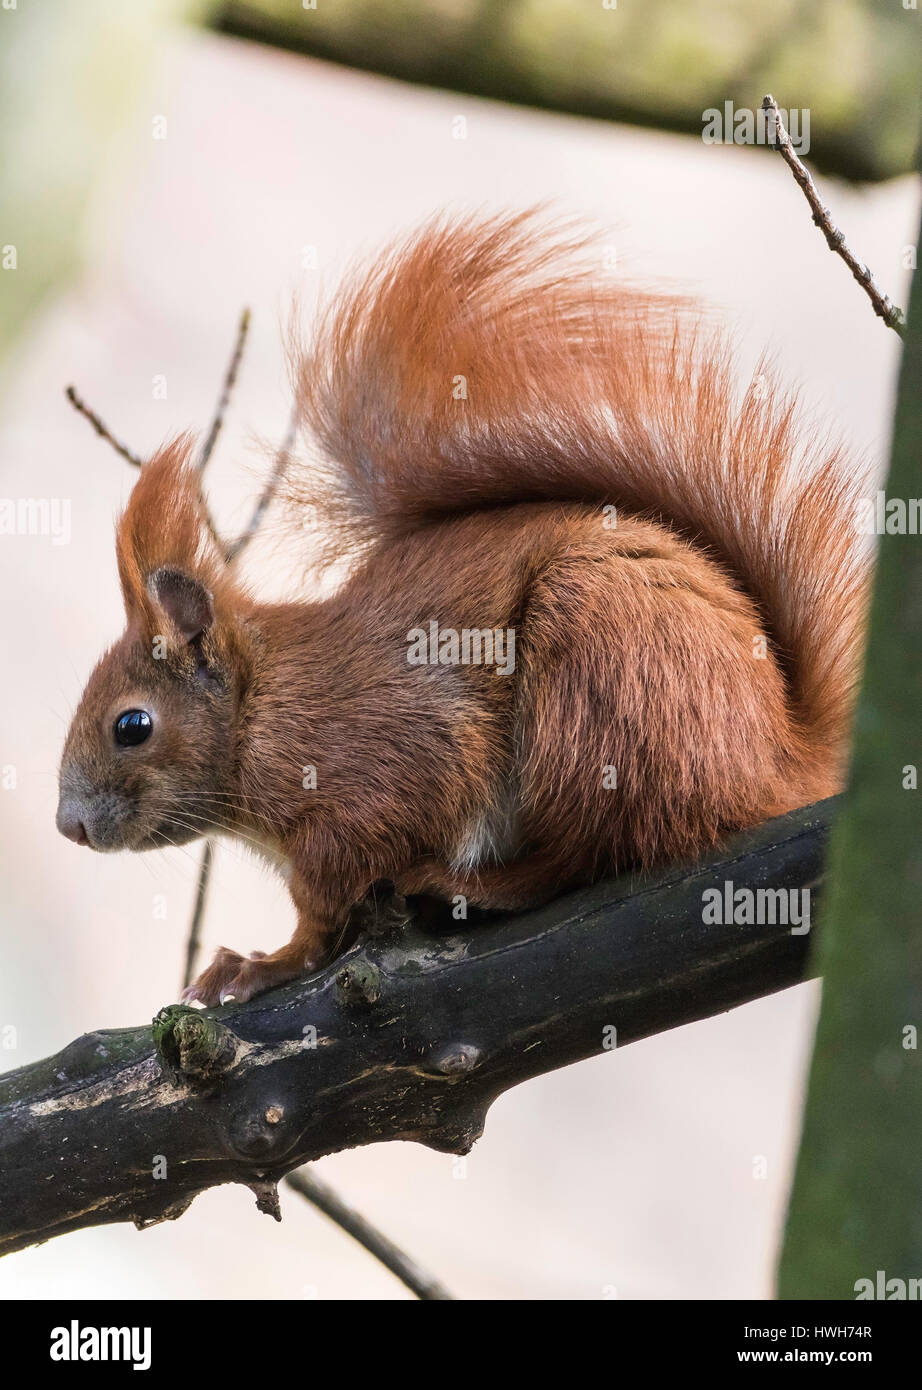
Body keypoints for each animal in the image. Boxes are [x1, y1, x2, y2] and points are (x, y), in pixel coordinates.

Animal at [56, 211, 868, 1006]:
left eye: (132, 726)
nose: (69, 827)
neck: (264, 707)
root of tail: (781, 755)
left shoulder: (379, 766)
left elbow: (328, 898)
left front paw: (267, 963)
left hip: (601, 672)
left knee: (590, 849)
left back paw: (477, 885)